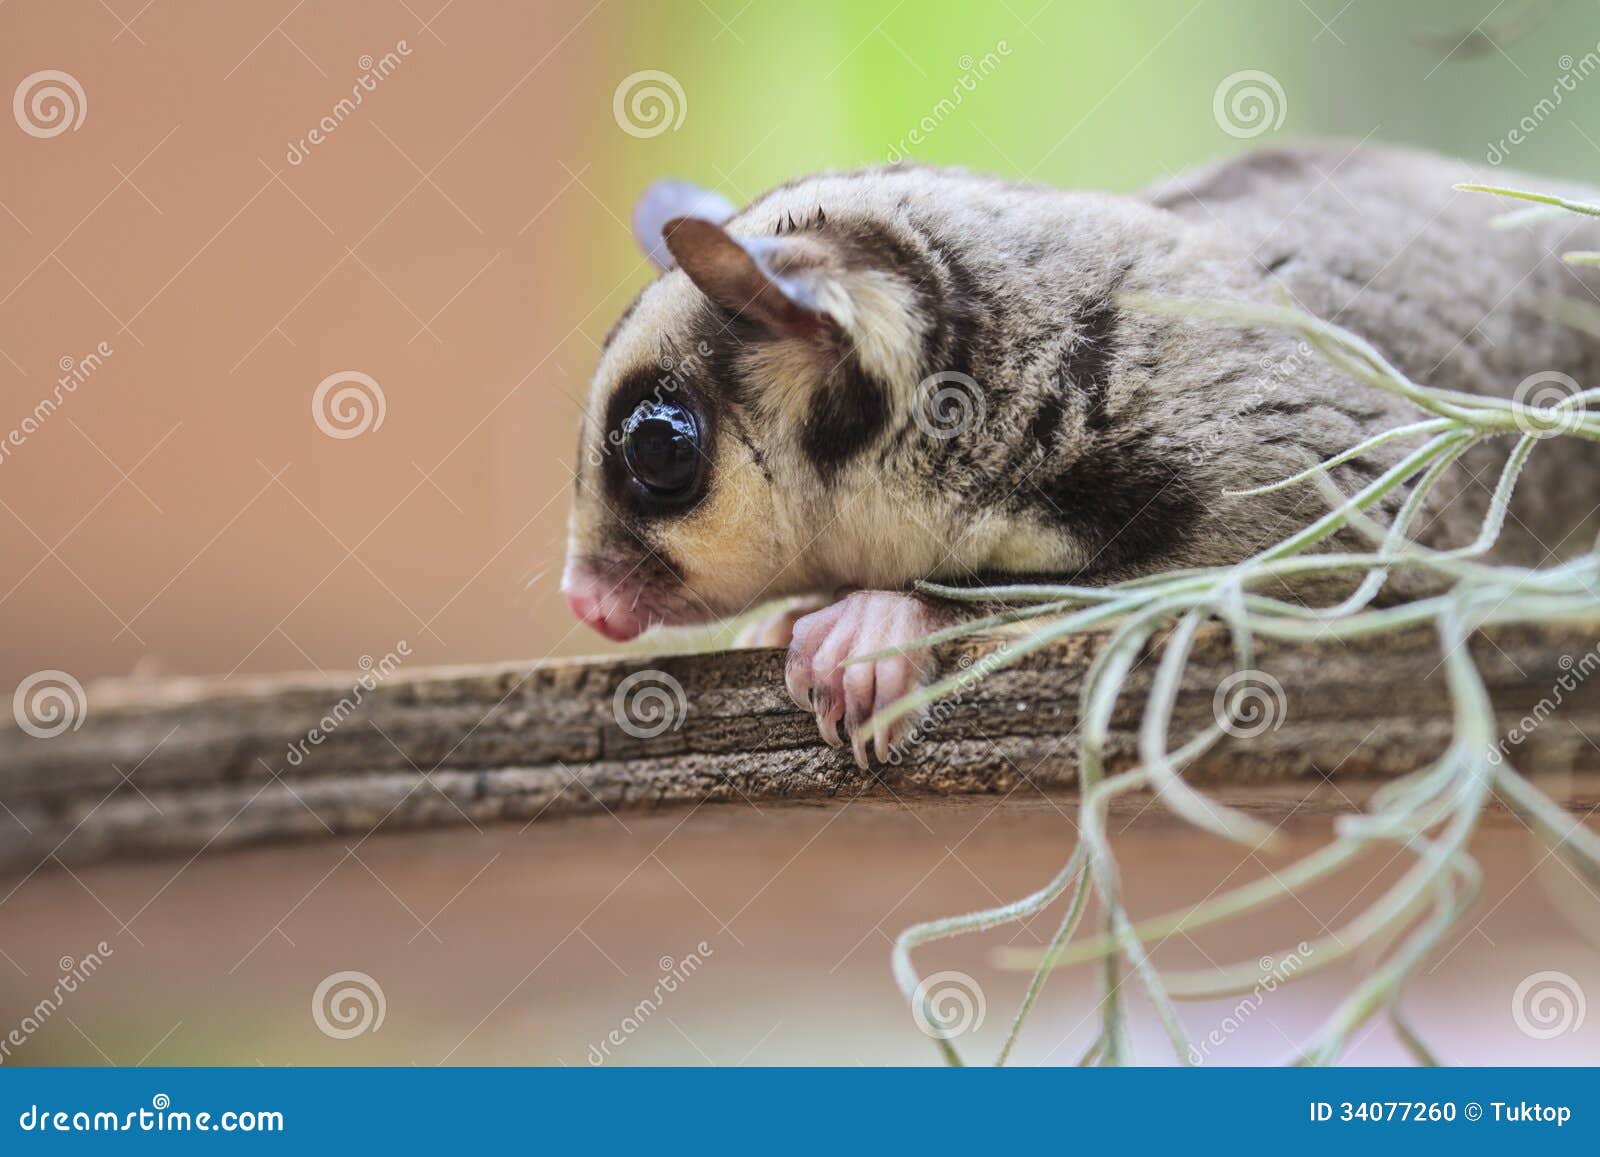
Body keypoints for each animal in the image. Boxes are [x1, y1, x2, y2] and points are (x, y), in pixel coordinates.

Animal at [562, 143, 1600, 768]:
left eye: (659, 448)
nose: (584, 600)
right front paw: (797, 615)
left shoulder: (1281, 462)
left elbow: (1314, 556)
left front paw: (877, 622)